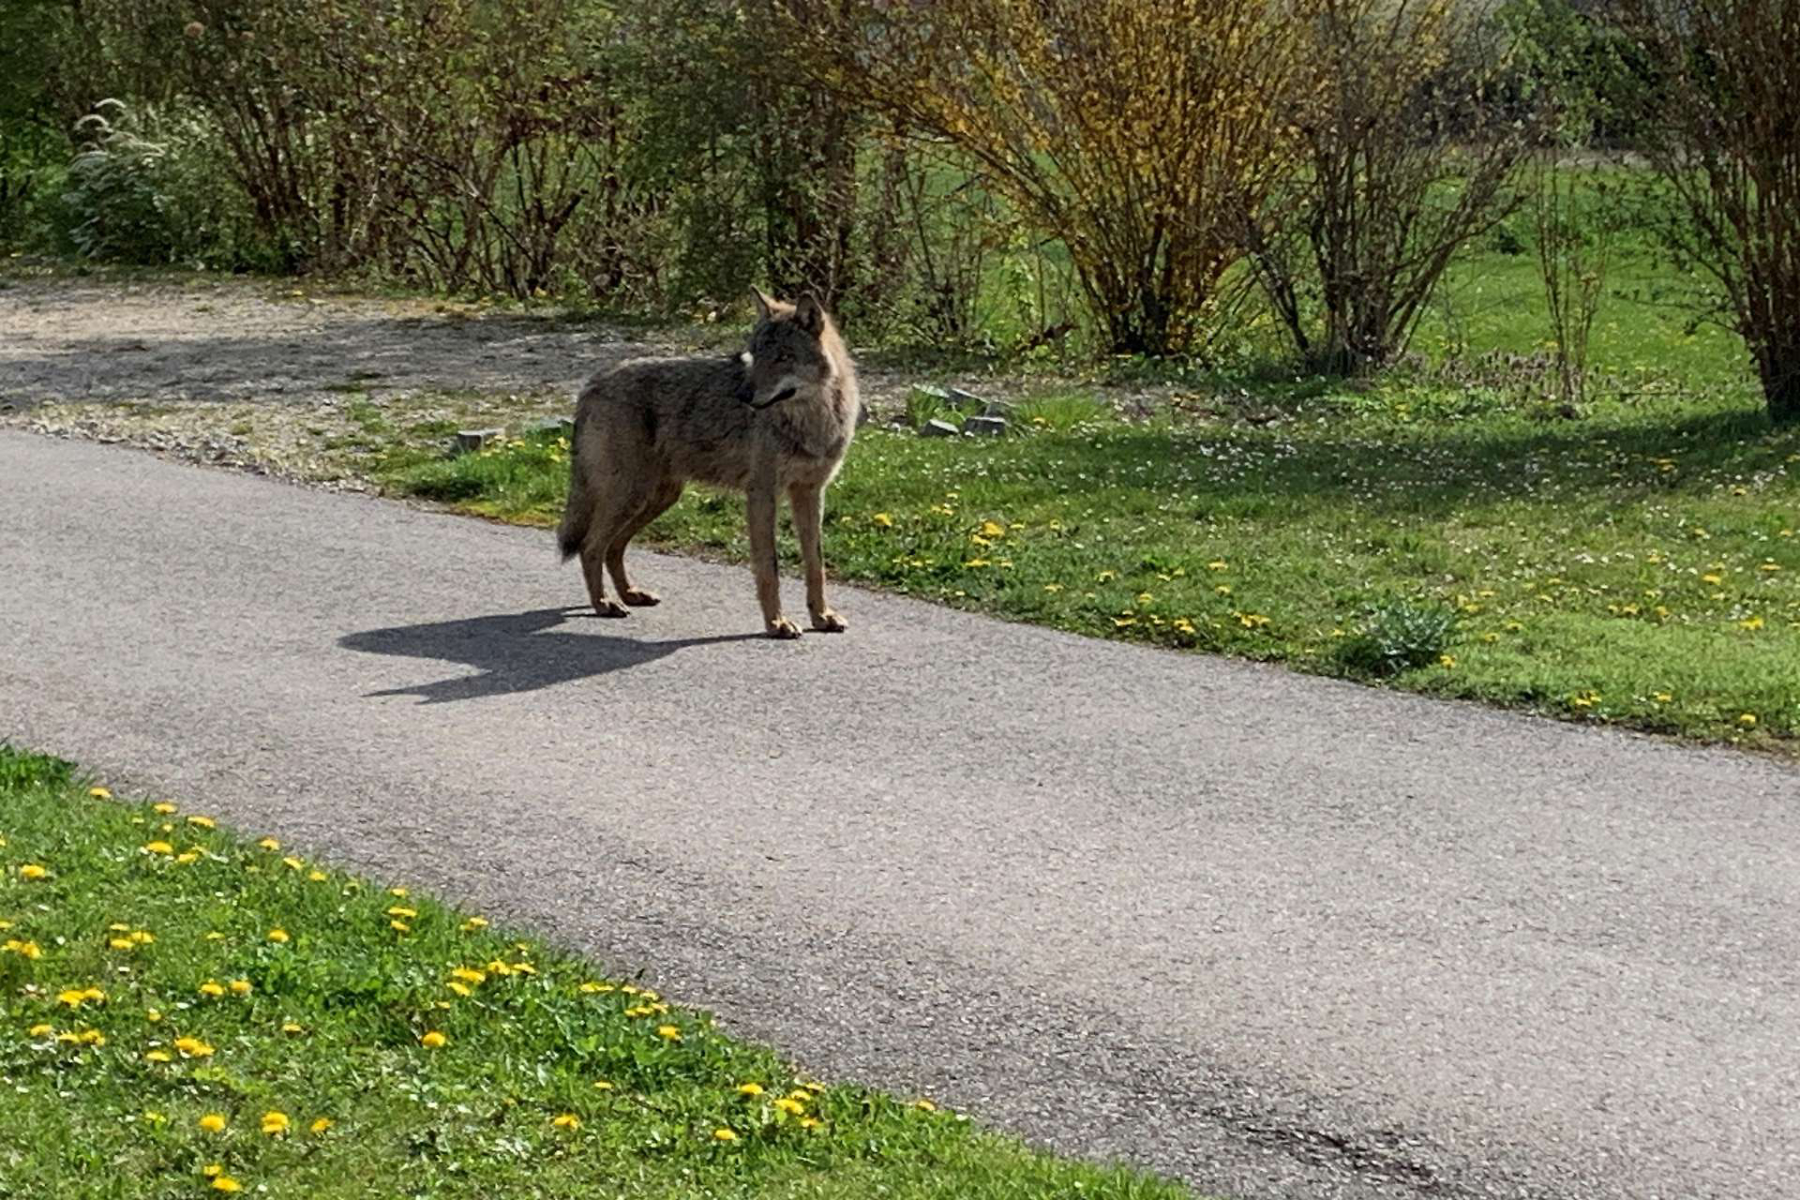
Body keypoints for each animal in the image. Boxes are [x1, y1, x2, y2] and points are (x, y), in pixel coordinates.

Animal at [556, 288, 860, 638]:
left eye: (783, 357)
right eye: (754, 355)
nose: (743, 395)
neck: (811, 421)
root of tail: (593, 382)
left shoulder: (810, 493)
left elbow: (816, 565)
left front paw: (822, 617)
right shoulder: (762, 495)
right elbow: (769, 568)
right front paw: (776, 623)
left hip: (656, 499)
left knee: (613, 547)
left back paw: (630, 594)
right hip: (631, 496)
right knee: (591, 546)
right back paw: (604, 604)